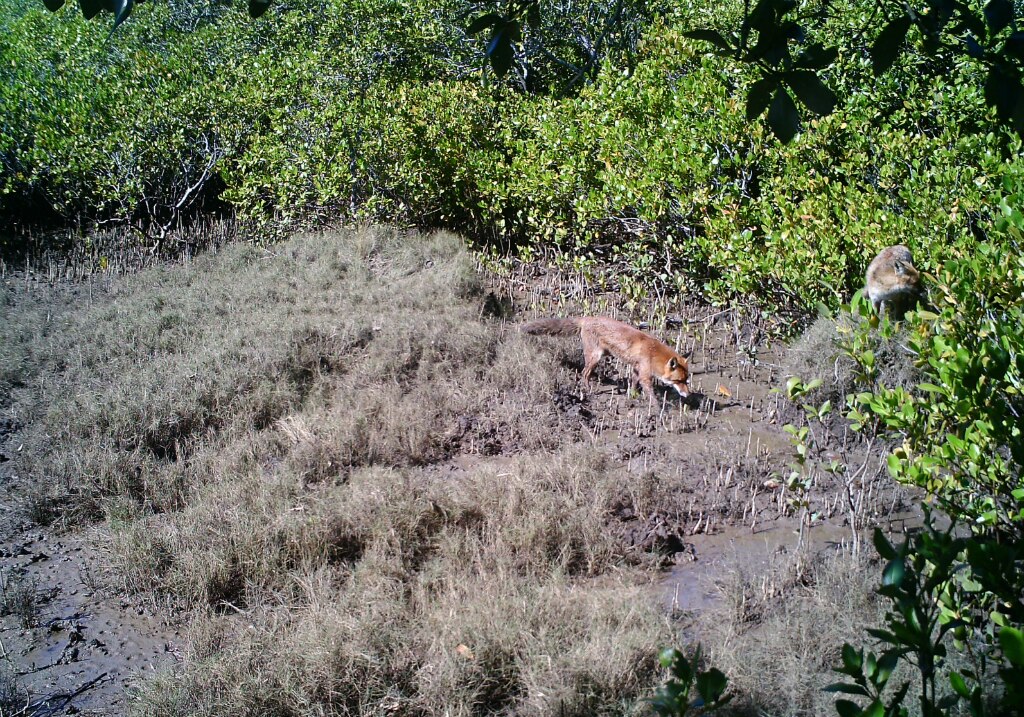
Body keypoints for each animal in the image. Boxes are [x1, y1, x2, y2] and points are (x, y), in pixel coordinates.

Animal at [521, 316, 690, 400]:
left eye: (686, 380)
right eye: (678, 381)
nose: (688, 394)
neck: (653, 352)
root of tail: (586, 318)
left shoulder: (637, 369)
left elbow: (634, 384)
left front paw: (633, 395)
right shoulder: (645, 374)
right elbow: (650, 394)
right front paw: (657, 409)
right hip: (595, 357)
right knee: (584, 374)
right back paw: (587, 390)